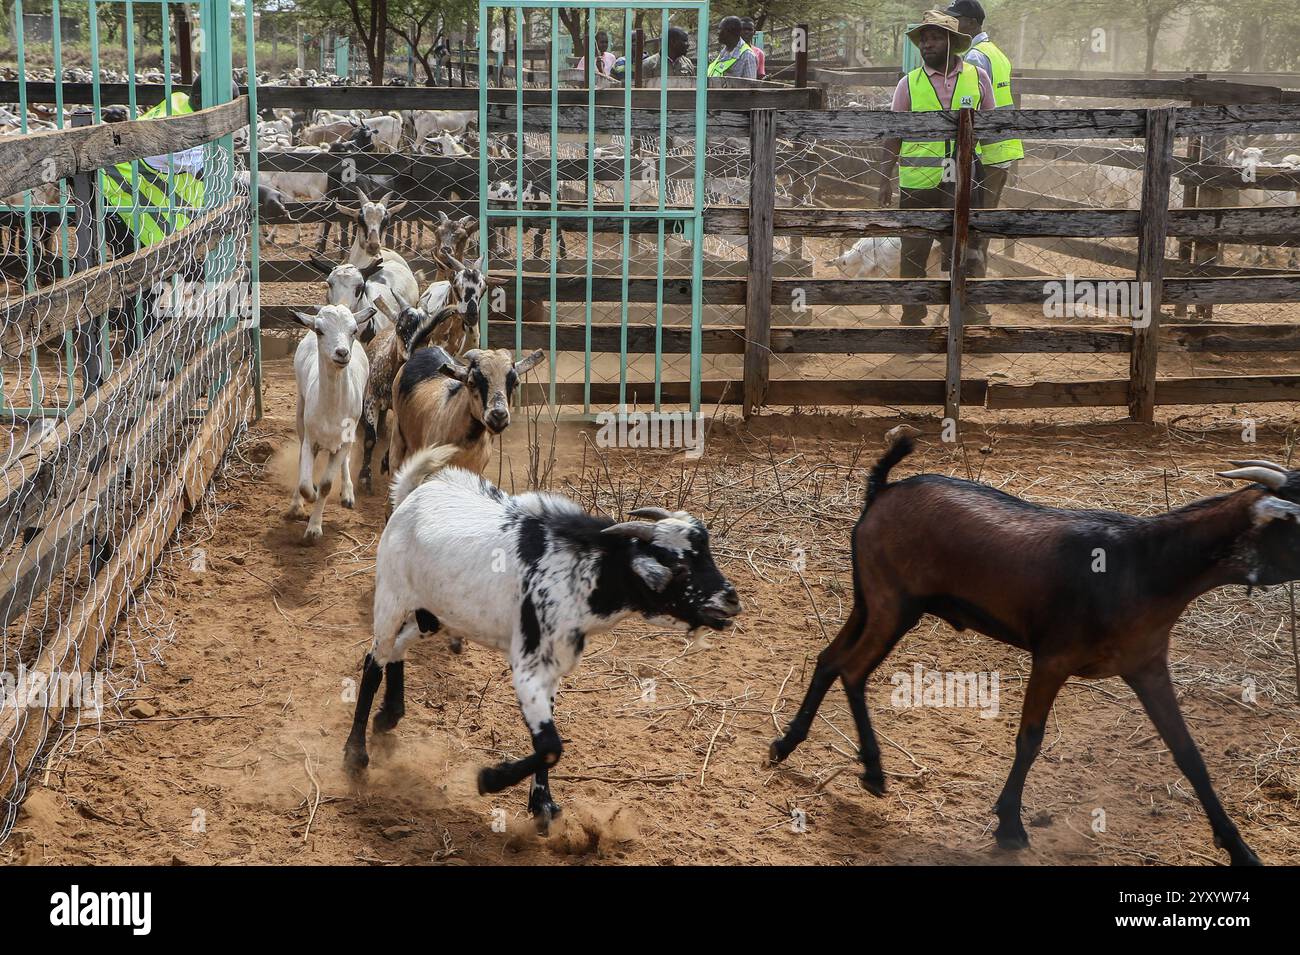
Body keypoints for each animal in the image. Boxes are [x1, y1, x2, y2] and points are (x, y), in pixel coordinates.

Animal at [285, 303, 376, 542]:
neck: (331, 411)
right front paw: (307, 497)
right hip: (300, 408)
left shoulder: (344, 440)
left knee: (345, 459)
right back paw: (296, 505)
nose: (342, 353)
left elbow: (327, 484)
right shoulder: (310, 439)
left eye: (354, 330)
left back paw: (347, 494)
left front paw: (314, 529)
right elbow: (305, 483)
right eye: (320, 330)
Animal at [343, 455, 741, 829]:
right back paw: (354, 755)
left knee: (397, 648)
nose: (731, 600)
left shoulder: (553, 668)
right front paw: (491, 779)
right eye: (681, 566)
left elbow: (545, 741)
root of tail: (414, 494)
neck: (578, 570)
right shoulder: (528, 668)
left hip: (435, 614)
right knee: (373, 662)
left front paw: (542, 803)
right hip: (392, 596)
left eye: (707, 553)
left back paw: (389, 716)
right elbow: (550, 745)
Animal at [769, 436, 1300, 866]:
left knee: (829, 659)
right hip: (894, 605)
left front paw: (1240, 849)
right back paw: (873, 772)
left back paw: (787, 743)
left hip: (871, 601)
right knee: (853, 669)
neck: (1146, 565)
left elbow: (1188, 753)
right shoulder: (1053, 659)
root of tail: (881, 489)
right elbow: (1030, 740)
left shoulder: (1147, 665)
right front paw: (1009, 827)